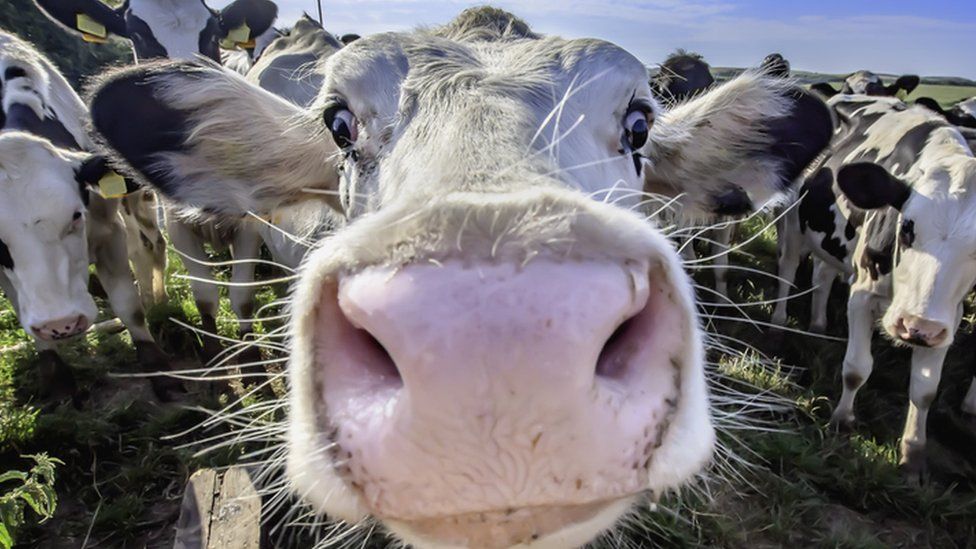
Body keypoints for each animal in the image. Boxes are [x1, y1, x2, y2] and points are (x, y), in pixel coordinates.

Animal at [0, 31, 180, 401]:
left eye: (74, 216)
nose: (61, 325)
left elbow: (128, 305)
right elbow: (25, 314)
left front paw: (160, 371)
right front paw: (57, 380)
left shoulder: (110, 232)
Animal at [35, 0, 280, 373]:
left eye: (212, 34)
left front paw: (252, 362)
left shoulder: (249, 221)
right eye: (137, 35)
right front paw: (213, 355)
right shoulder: (177, 222)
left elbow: (242, 295)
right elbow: (205, 296)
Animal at [775, 94, 976, 478]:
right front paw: (842, 420)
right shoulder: (862, 294)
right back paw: (777, 324)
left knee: (822, 277)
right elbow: (857, 368)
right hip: (792, 222)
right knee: (788, 270)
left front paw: (913, 455)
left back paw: (819, 326)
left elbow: (925, 390)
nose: (915, 327)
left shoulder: (948, 319)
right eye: (907, 226)